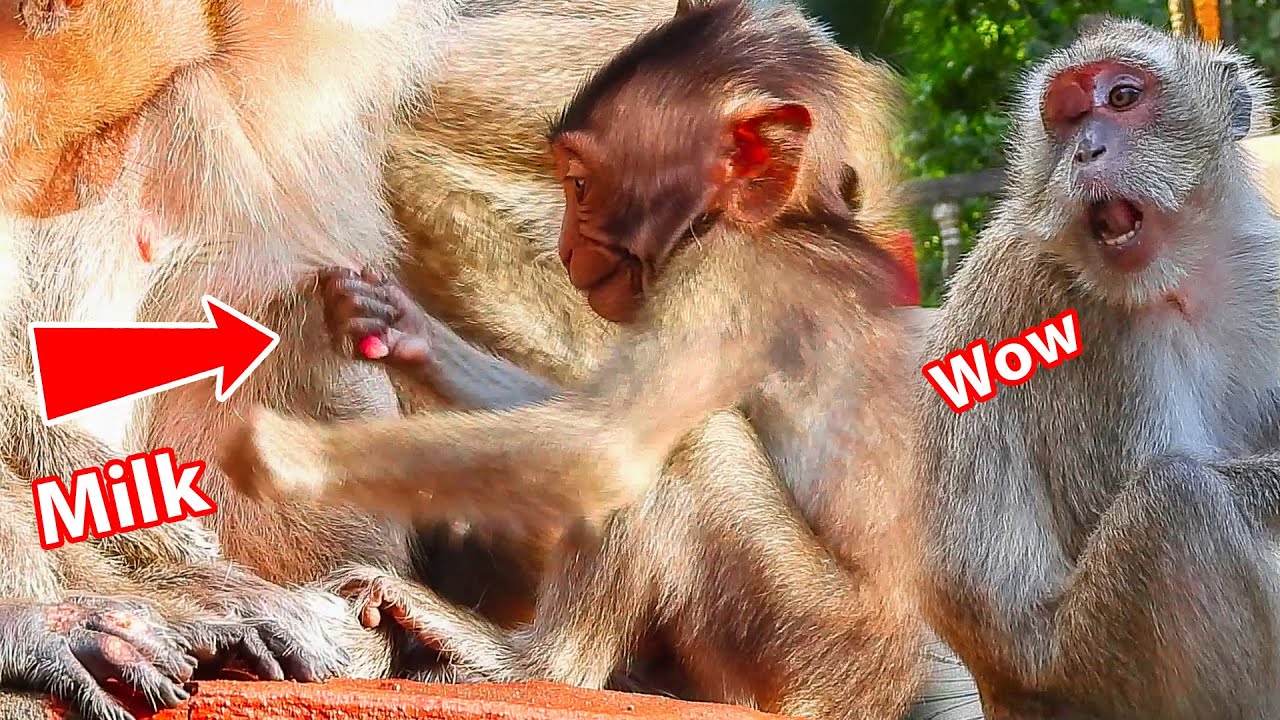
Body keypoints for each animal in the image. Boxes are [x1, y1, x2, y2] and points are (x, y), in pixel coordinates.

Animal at [220, 1, 934, 717]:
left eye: (582, 184)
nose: (566, 247)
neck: (796, 221)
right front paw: (394, 324)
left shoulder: (726, 273)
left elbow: (600, 444)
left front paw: (283, 453)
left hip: (797, 646)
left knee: (686, 444)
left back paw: (532, 663)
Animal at [909, 18, 1280, 719]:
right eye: (1067, 115)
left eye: (1124, 97)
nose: (1086, 151)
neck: (1177, 279)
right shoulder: (1086, 327)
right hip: (1097, 669)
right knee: (1178, 499)